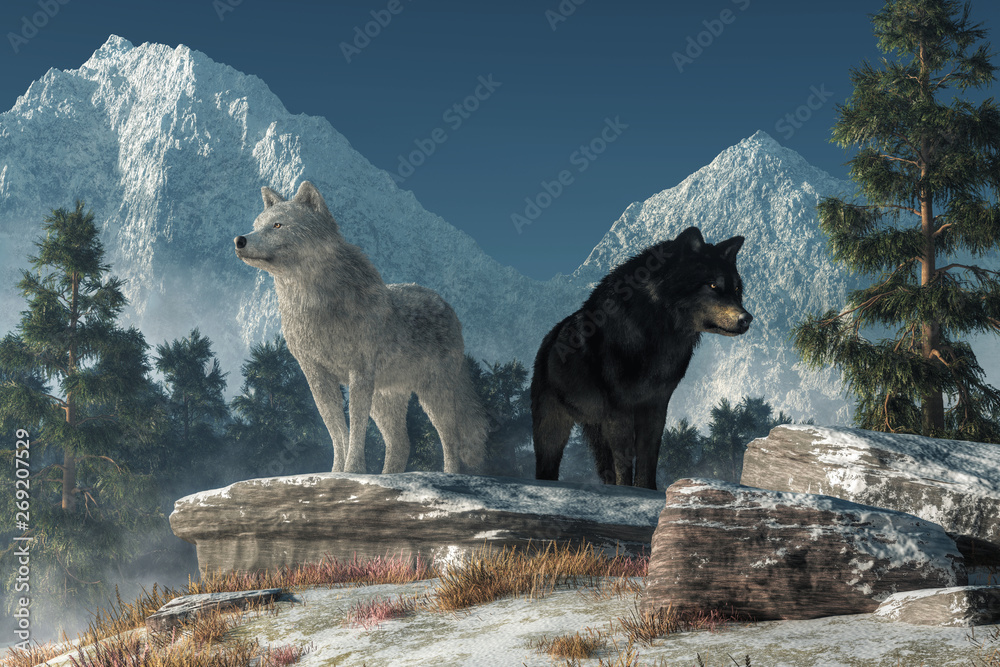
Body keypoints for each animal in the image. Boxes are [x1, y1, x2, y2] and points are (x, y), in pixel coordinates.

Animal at [234, 181, 486, 475]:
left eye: (277, 225)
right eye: (256, 225)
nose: (239, 240)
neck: (314, 307)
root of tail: (445, 303)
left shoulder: (359, 373)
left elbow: (355, 428)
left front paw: (353, 470)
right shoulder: (317, 376)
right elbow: (337, 431)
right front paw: (337, 472)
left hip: (433, 394)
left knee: (450, 437)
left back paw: (450, 474)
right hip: (384, 401)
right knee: (401, 443)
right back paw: (388, 476)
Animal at [531, 226, 752, 489]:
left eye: (736, 290)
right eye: (712, 285)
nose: (747, 319)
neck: (656, 336)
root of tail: (549, 338)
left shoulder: (656, 405)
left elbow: (648, 458)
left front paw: (648, 490)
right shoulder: (620, 410)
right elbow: (625, 461)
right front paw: (628, 490)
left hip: (596, 431)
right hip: (552, 429)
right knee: (547, 466)